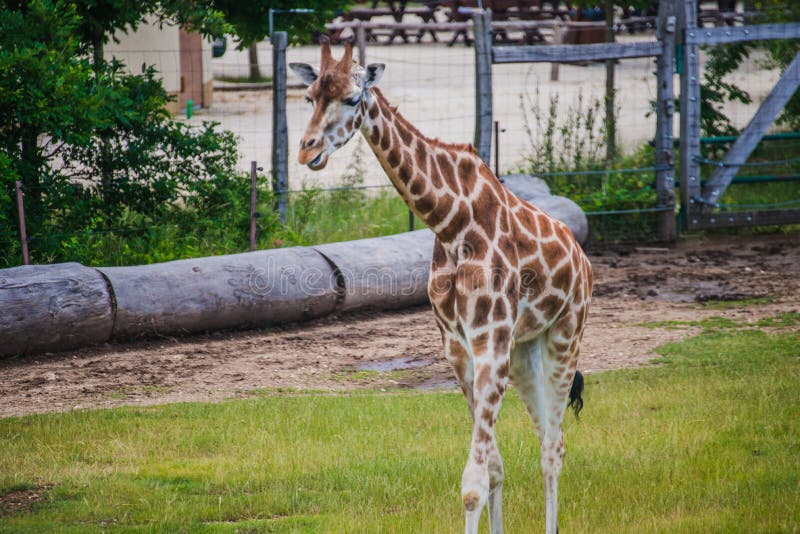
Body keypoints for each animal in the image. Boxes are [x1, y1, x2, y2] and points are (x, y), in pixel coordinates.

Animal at [290, 42, 592, 534]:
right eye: (309, 96)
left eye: (353, 99)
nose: (307, 151)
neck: (450, 224)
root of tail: (584, 260)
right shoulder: (458, 347)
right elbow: (492, 468)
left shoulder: (489, 341)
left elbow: (472, 483)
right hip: (524, 350)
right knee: (545, 440)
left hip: (565, 336)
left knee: (553, 447)